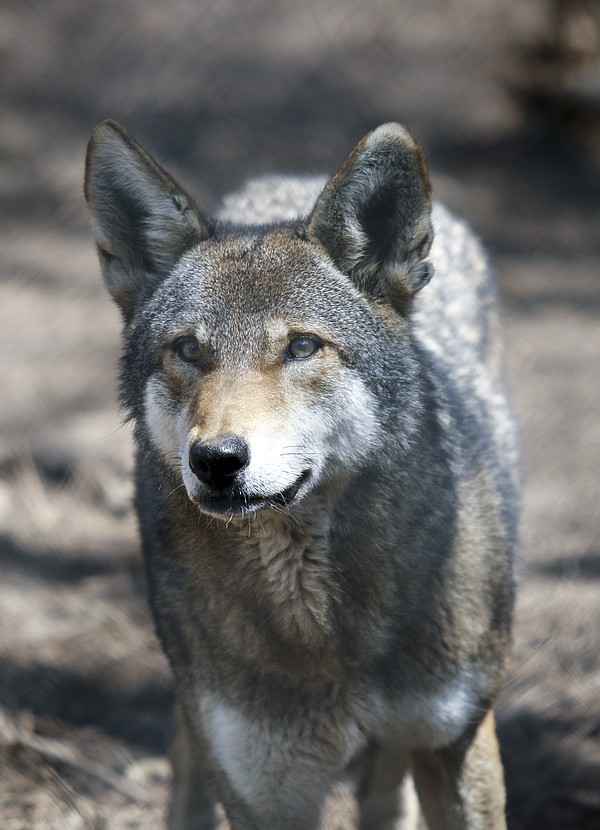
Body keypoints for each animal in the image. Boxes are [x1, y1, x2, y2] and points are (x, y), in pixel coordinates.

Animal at [85, 120, 519, 830]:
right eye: (189, 350)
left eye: (302, 346)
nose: (217, 459)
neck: (326, 629)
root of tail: (293, 176)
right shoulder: (265, 792)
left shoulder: (454, 739)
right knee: (185, 762)